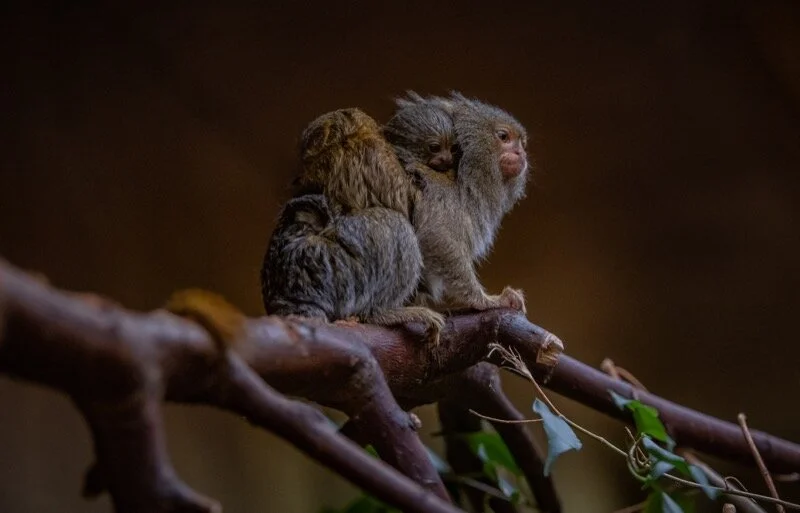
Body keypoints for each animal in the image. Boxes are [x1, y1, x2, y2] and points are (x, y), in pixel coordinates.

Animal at [383, 91, 529, 314]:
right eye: (504, 137)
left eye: (522, 143)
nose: (521, 154)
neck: (461, 174)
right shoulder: (439, 192)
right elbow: (436, 236)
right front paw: (484, 300)